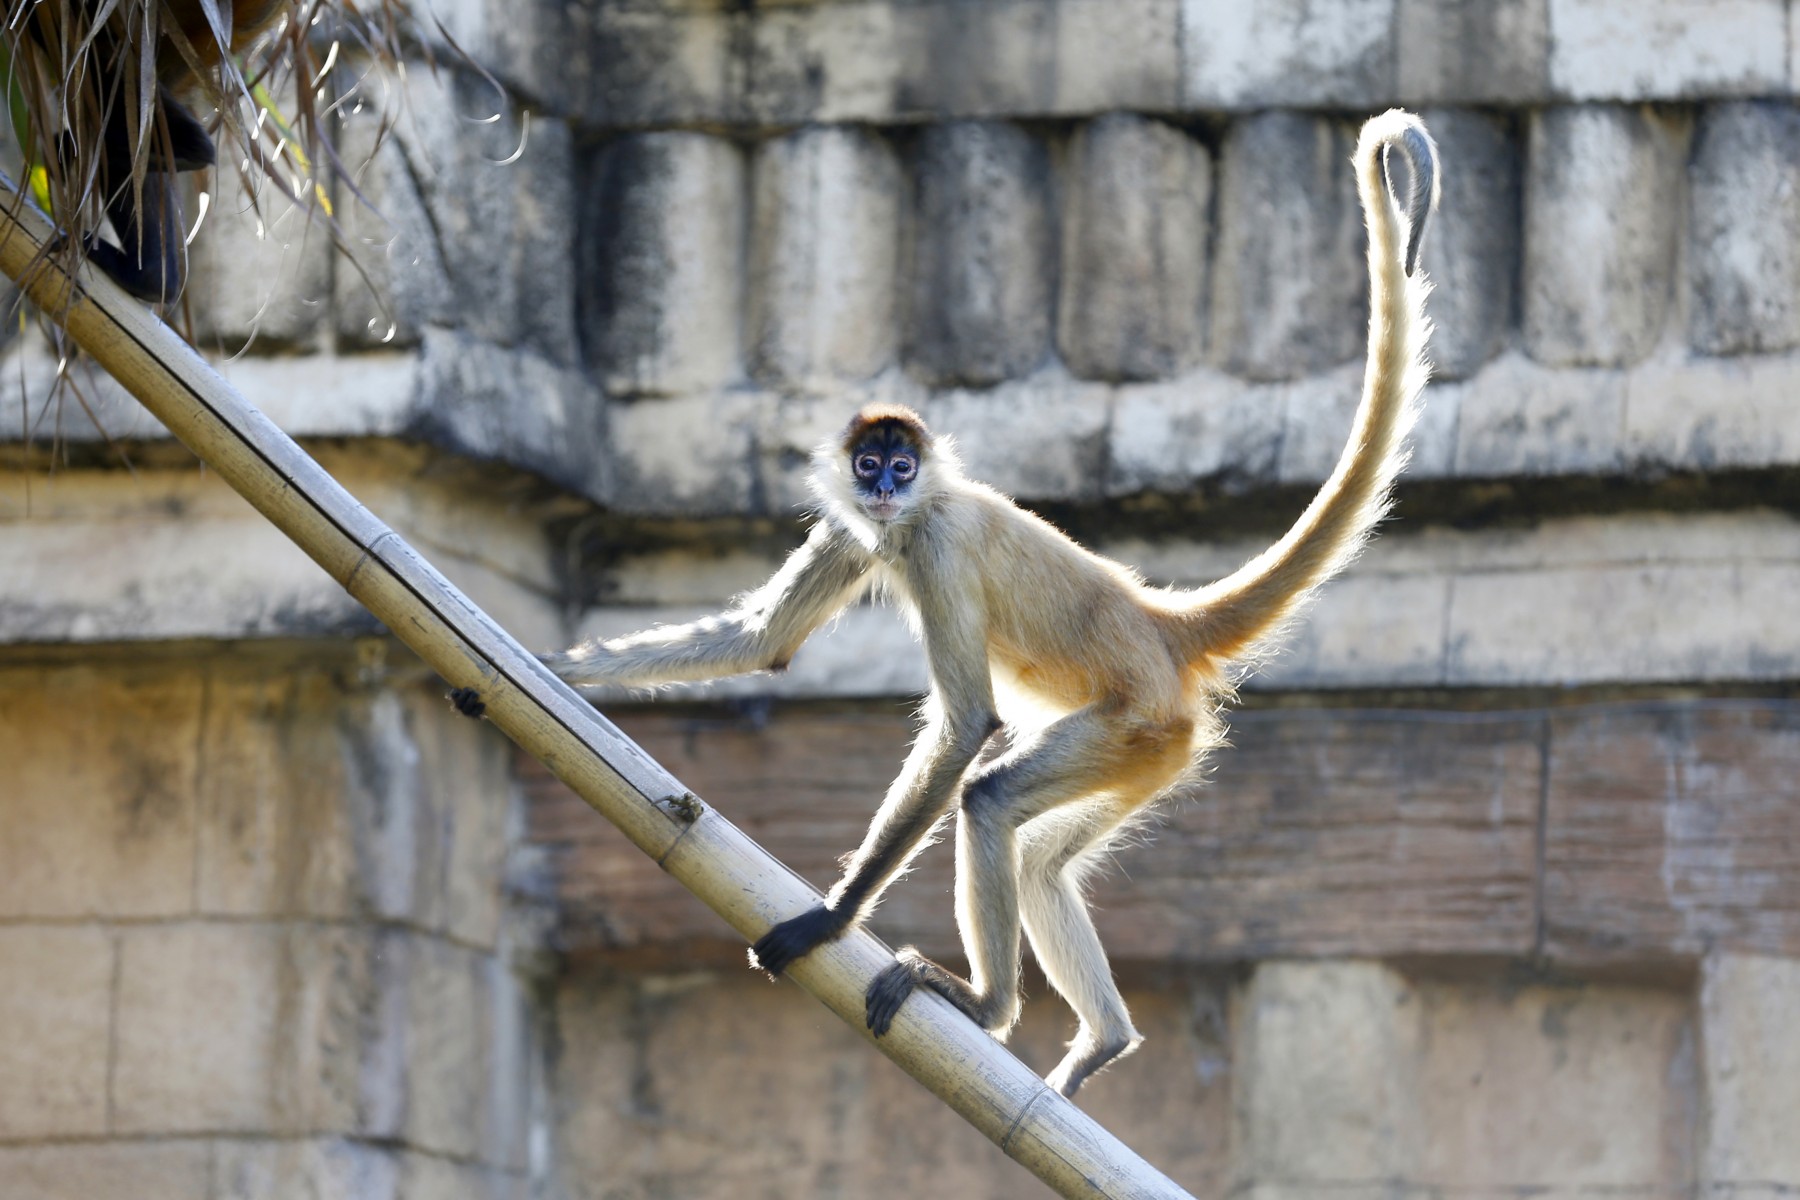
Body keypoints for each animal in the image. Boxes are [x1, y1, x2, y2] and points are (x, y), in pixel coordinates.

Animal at [454, 109, 1437, 1098]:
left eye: (902, 463)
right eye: (866, 465)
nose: (886, 484)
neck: (916, 510)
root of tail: (1157, 624)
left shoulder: (932, 546)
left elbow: (967, 727)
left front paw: (831, 922)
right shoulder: (864, 531)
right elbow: (762, 642)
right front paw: (543, 666)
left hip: (1136, 722)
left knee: (991, 800)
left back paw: (988, 1006)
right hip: (1159, 748)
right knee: (1038, 858)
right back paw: (1104, 1040)